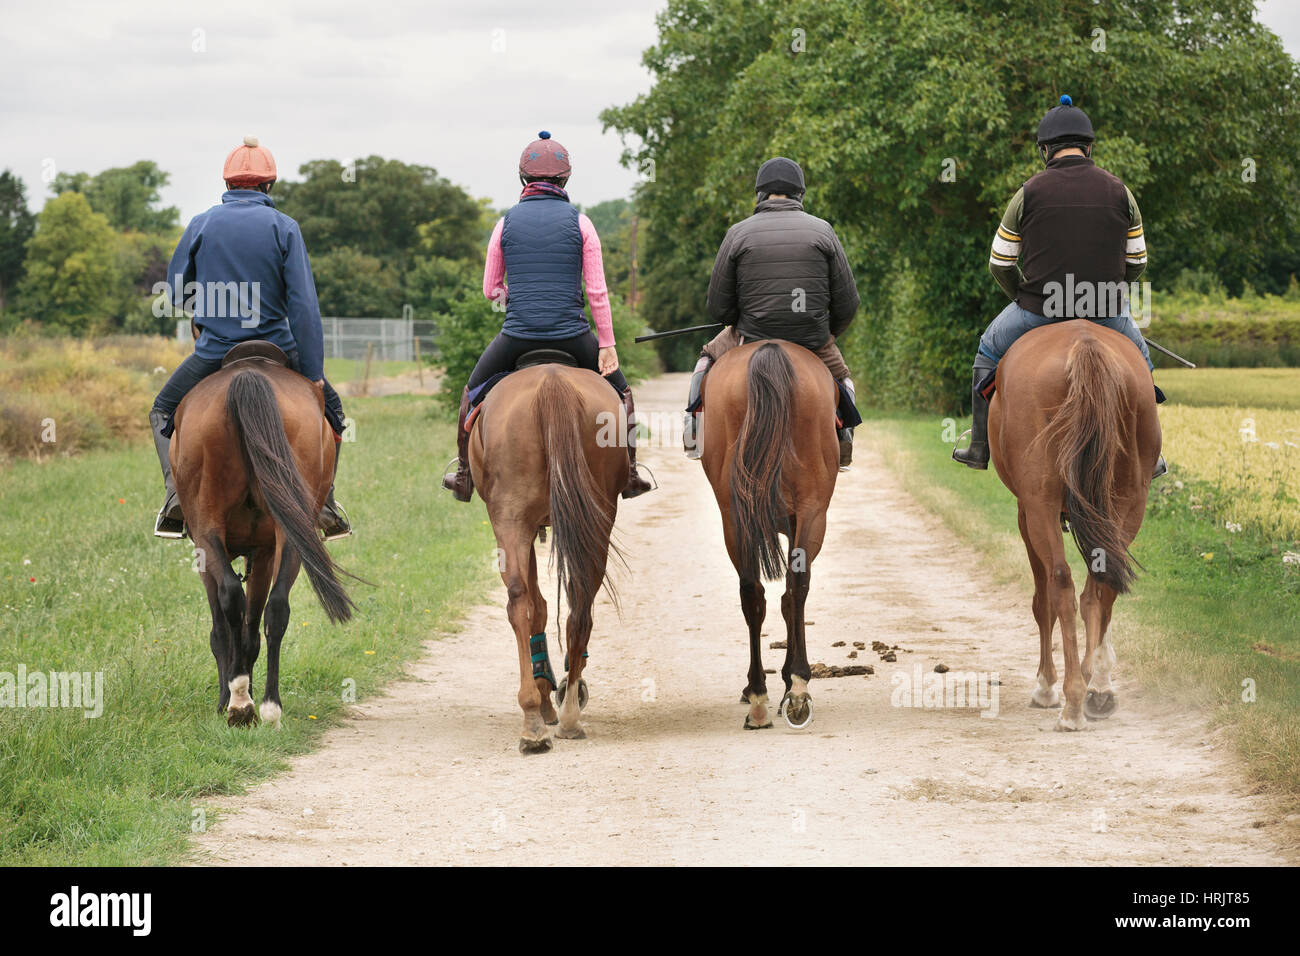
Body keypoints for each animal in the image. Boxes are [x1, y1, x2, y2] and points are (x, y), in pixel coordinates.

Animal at [171, 345, 355, 728]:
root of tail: (247, 375)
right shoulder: (264, 551)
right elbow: (252, 629)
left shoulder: (207, 551)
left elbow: (223, 630)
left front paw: (226, 698)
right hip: (290, 534)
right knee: (277, 609)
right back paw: (269, 706)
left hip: (208, 529)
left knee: (230, 597)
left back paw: (239, 702)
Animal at [469, 358, 627, 754]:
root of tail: (552, 381)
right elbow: (540, 606)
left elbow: (536, 607)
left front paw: (543, 696)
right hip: (593, 518)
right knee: (576, 604)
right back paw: (563, 712)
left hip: (512, 520)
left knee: (521, 602)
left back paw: (536, 719)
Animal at [699, 340, 840, 731]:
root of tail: (770, 349)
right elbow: (791, 596)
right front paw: (790, 680)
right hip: (811, 513)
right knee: (791, 590)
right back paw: (789, 690)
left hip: (738, 517)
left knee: (756, 591)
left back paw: (764, 695)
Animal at [988, 320, 1161, 731]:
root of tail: (1084, 345)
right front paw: (1101, 676)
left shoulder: (1025, 512)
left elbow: (1042, 602)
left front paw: (1046, 685)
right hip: (1130, 501)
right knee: (1101, 586)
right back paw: (1094, 688)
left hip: (1041, 506)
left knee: (1061, 586)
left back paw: (1069, 700)